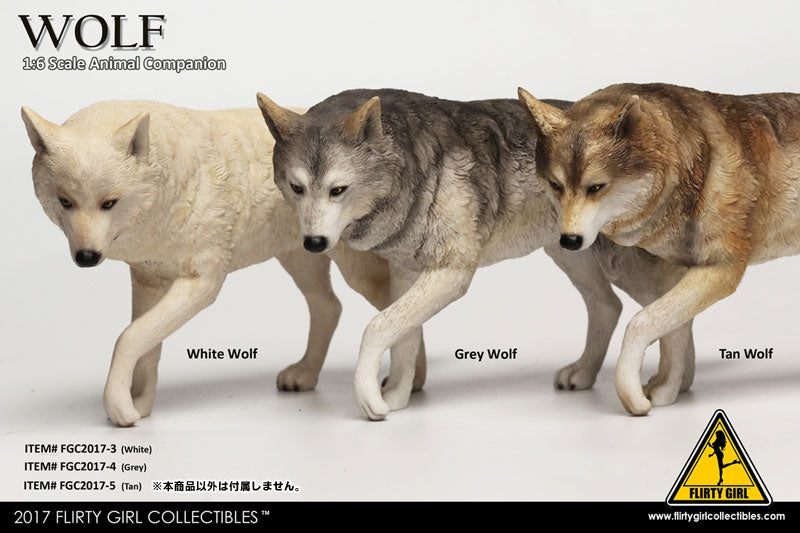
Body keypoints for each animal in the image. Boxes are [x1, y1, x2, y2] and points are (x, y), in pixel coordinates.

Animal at [21, 100, 413, 427]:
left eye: (108, 203)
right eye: (66, 202)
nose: (86, 258)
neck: (169, 188)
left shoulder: (201, 284)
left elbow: (128, 338)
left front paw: (120, 408)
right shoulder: (148, 280)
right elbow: (146, 347)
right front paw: (140, 403)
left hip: (358, 273)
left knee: (394, 311)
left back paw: (405, 388)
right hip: (299, 261)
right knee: (329, 307)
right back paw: (307, 374)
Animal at [256, 88, 697, 420]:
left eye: (338, 190)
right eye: (297, 188)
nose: (313, 244)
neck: (412, 167)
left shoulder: (452, 274)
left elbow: (378, 328)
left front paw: (371, 399)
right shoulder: (406, 274)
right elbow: (404, 340)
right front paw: (397, 394)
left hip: (620, 267)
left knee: (666, 311)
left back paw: (668, 388)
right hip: (570, 255)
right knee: (611, 307)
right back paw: (603, 375)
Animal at [518, 82, 800, 415]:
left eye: (596, 187)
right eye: (555, 185)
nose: (569, 241)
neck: (694, 164)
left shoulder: (721, 270)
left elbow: (641, 324)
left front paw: (635, 396)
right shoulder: (675, 272)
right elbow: (673, 334)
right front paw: (668, 388)